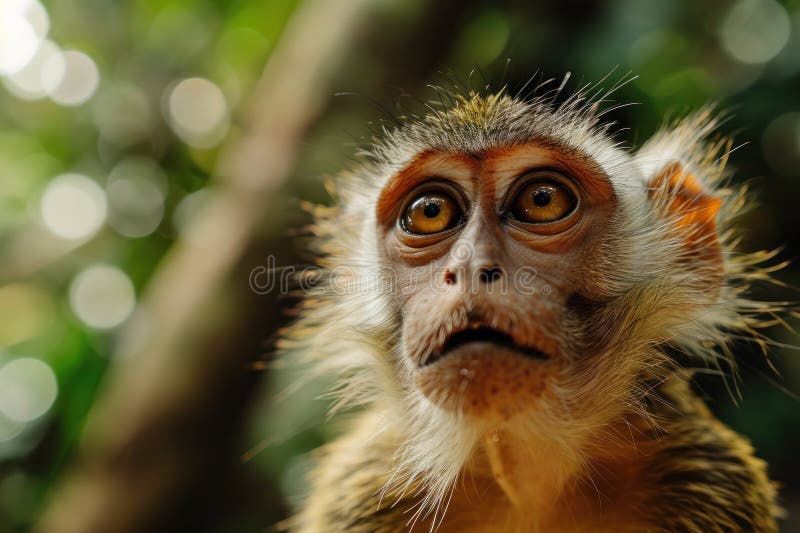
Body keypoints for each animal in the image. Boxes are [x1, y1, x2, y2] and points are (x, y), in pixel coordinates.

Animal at [277, 80, 786, 532]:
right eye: (430, 212)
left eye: (542, 200)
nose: (471, 268)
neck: (524, 482)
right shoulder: (363, 484)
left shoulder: (710, 477)